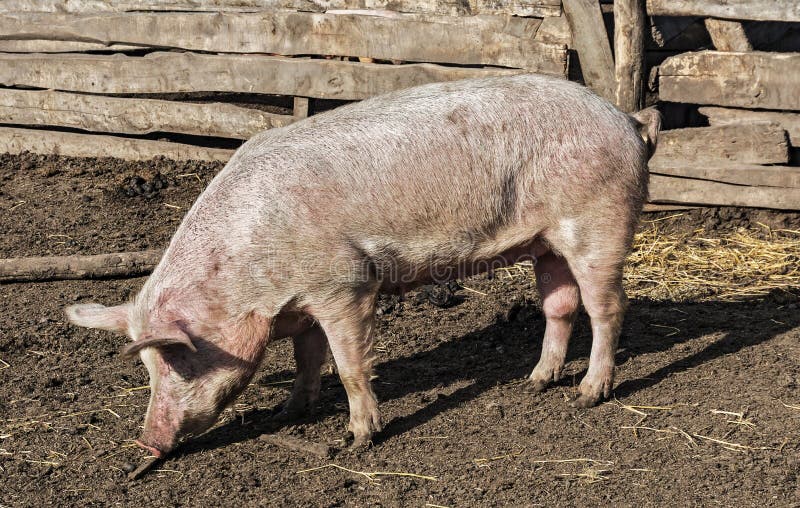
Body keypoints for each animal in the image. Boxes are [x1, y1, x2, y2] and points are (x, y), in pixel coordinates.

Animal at [66, 73, 660, 457]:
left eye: (176, 362)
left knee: (608, 306)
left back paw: (589, 394)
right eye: (147, 369)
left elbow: (349, 365)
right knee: (560, 306)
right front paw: (290, 412)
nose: (147, 441)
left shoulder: (344, 285)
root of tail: (629, 121)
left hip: (599, 222)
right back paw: (537, 383)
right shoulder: (303, 302)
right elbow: (307, 358)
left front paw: (357, 439)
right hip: (546, 243)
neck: (248, 272)